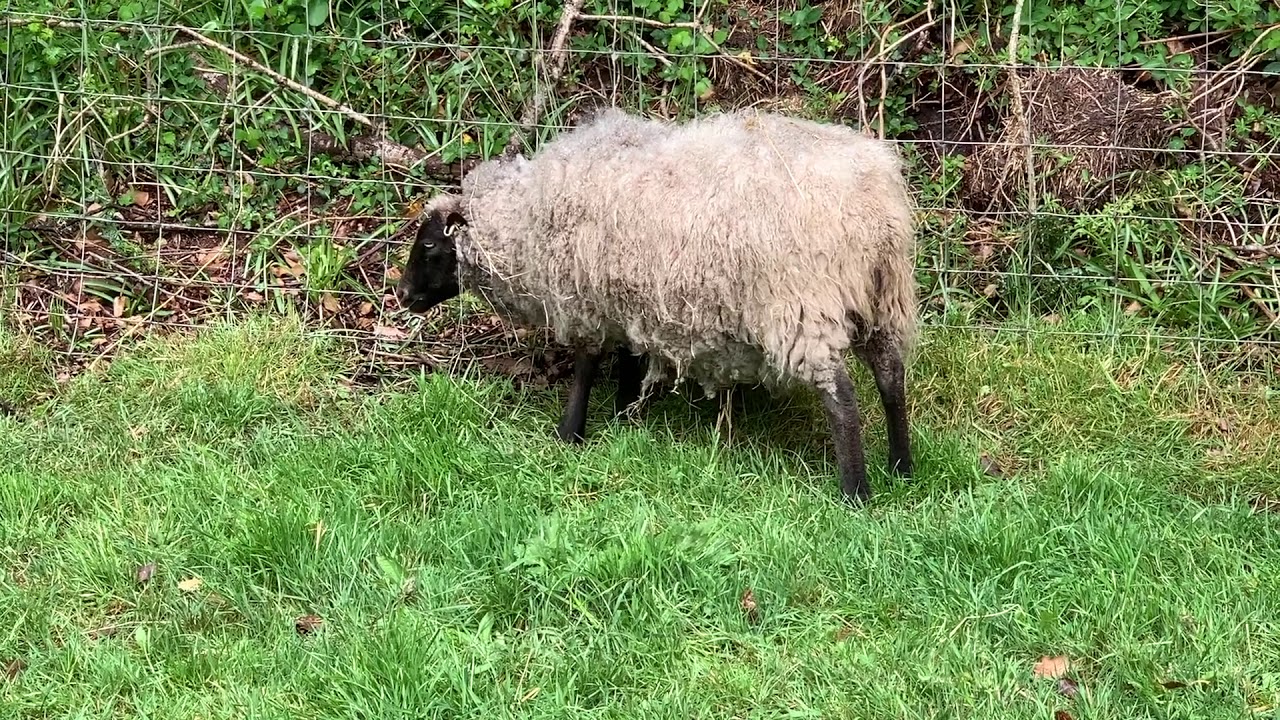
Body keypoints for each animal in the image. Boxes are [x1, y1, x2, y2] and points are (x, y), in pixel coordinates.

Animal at [396, 107, 918, 503]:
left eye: (429, 245)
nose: (402, 296)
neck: (525, 218)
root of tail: (875, 204)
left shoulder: (586, 297)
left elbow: (586, 365)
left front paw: (570, 434)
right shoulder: (629, 296)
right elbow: (629, 358)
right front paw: (625, 418)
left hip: (802, 305)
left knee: (842, 397)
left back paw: (855, 492)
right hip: (883, 299)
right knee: (891, 377)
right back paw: (902, 467)